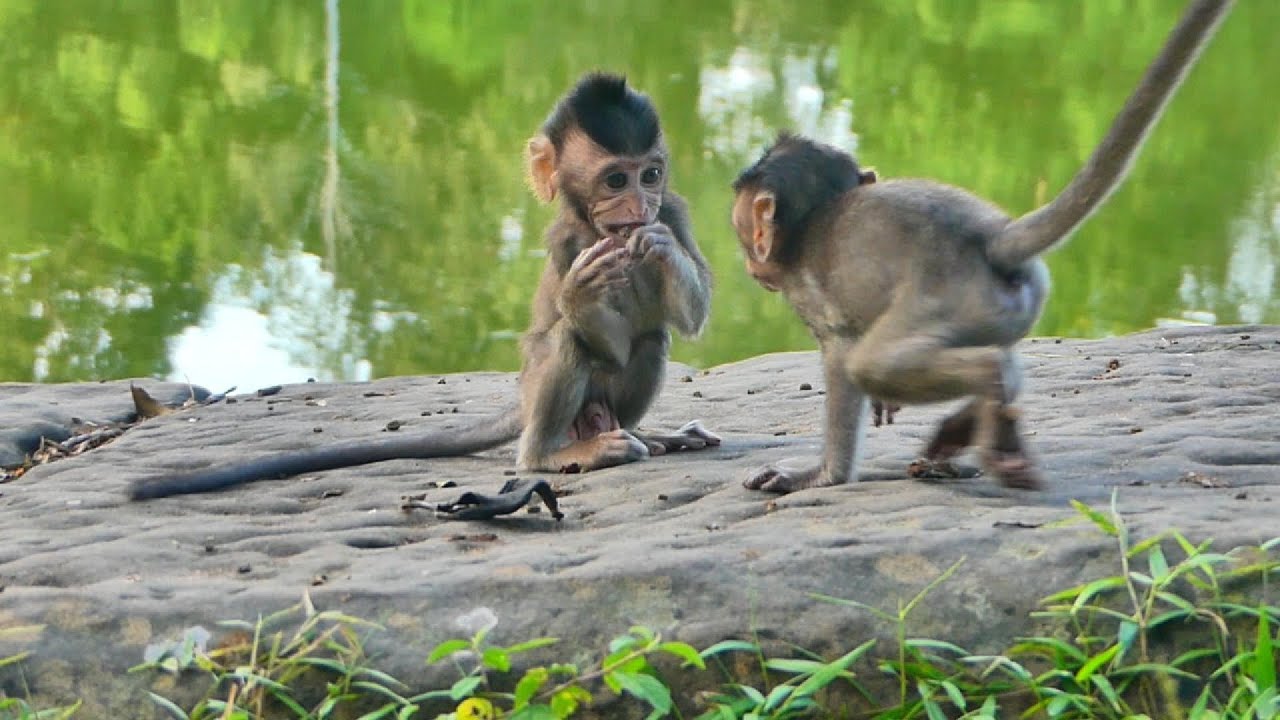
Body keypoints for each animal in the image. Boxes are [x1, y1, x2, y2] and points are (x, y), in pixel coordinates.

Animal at [127, 72, 718, 501]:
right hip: (541, 391)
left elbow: (684, 316)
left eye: (650, 175)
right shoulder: (566, 241)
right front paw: (578, 295)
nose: (640, 206)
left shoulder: (677, 210)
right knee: (568, 342)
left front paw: (661, 248)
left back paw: (645, 434)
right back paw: (549, 455)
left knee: (651, 339)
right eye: (616, 180)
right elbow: (600, 337)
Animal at [727, 0, 1232, 494]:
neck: (809, 222)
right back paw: (974, 422)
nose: (752, 264)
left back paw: (986, 391)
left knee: (876, 363)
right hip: (1008, 304)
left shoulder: (807, 291)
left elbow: (842, 361)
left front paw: (822, 474)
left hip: (944, 300)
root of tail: (992, 237)